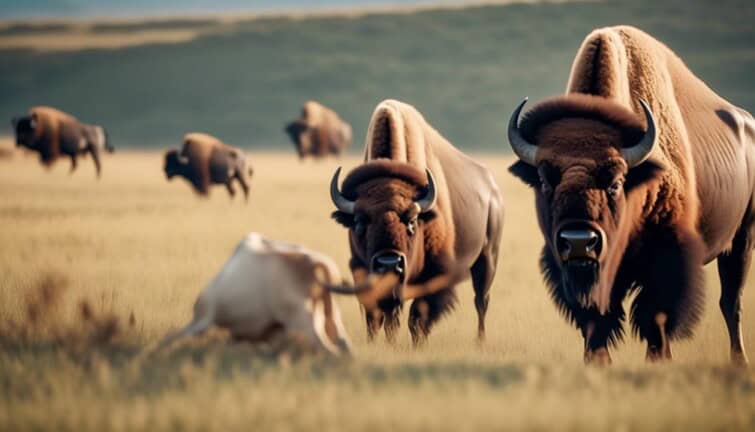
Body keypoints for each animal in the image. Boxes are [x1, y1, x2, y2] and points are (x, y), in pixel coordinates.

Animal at [328, 99, 503, 345]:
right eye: (360, 222)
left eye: (411, 221)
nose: (389, 262)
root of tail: (491, 188)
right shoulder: (363, 271)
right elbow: (380, 317)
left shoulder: (436, 274)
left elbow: (417, 317)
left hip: (488, 258)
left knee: (481, 301)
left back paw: (480, 341)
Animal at [507, 26, 755, 365]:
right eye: (545, 181)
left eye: (616, 182)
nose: (579, 242)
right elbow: (596, 318)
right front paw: (597, 360)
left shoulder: (666, 253)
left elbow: (655, 314)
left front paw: (658, 359)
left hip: (743, 238)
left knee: (731, 302)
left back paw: (739, 360)